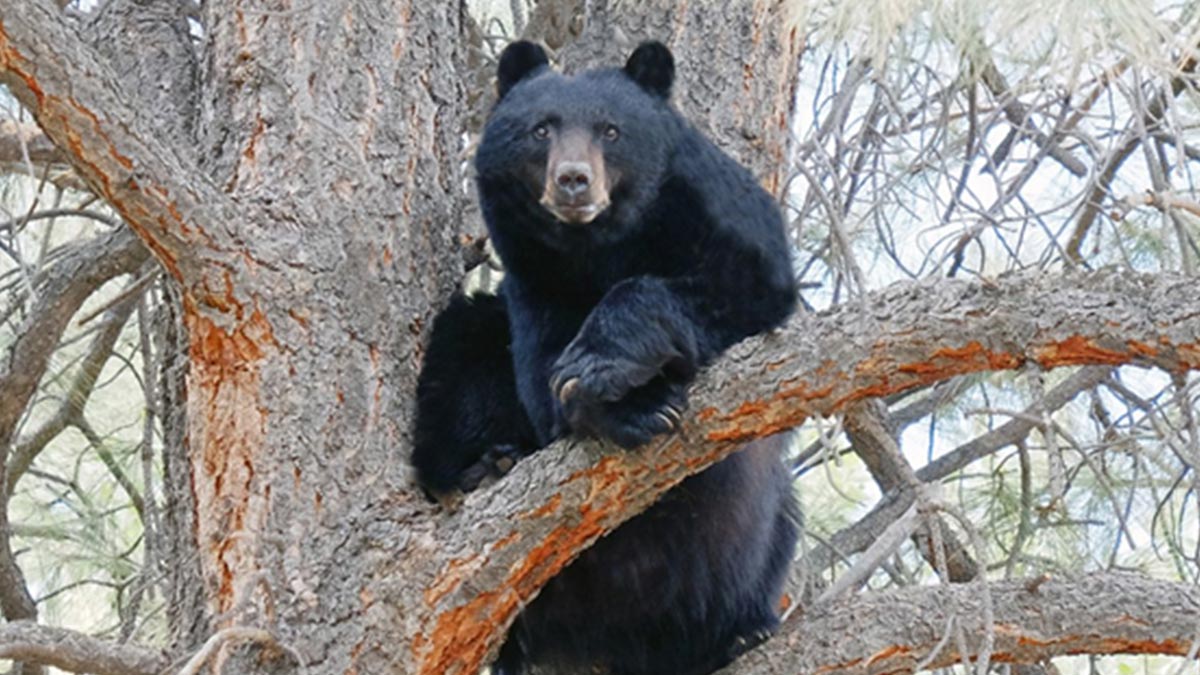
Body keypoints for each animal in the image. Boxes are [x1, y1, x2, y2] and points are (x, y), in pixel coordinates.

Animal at [412, 40, 799, 675]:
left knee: (776, 535)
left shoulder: (718, 214)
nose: (574, 181)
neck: (596, 247)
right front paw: (622, 406)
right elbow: (542, 388)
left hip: (745, 551)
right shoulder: (535, 285)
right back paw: (481, 470)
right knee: (459, 353)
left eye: (611, 130)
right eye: (541, 129)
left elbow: (746, 289)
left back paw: (742, 632)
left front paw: (600, 366)